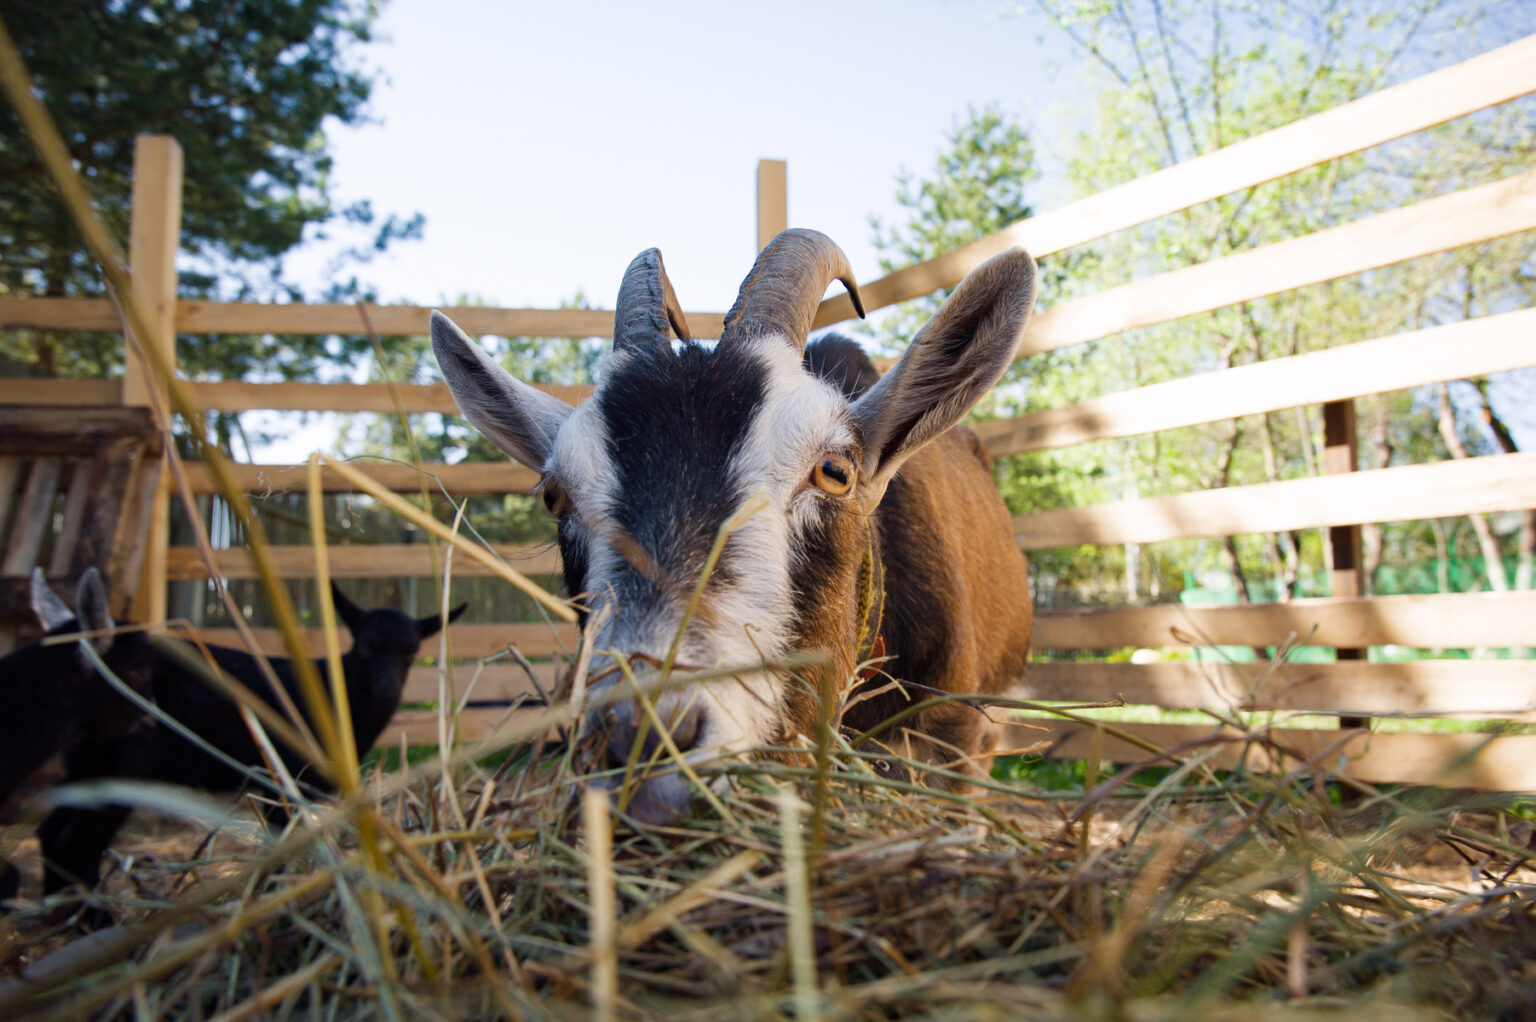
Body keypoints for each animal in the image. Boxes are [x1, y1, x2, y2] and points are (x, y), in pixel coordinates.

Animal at [33, 583, 465, 902]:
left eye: (412, 653)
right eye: (362, 648)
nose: (387, 689)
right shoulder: (283, 778)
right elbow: (282, 848)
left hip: (89, 761)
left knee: (54, 835)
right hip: (123, 761)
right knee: (79, 843)